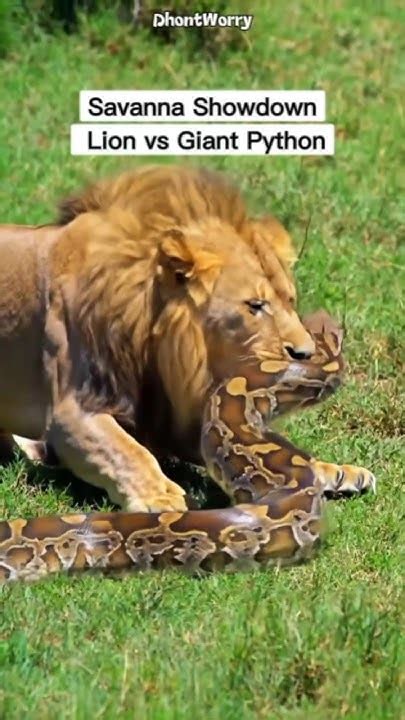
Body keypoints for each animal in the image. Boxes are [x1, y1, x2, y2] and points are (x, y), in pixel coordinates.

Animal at [0, 166, 317, 512]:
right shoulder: (72, 407)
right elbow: (128, 452)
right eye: (255, 305)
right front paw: (164, 498)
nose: (308, 353)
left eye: (291, 300)